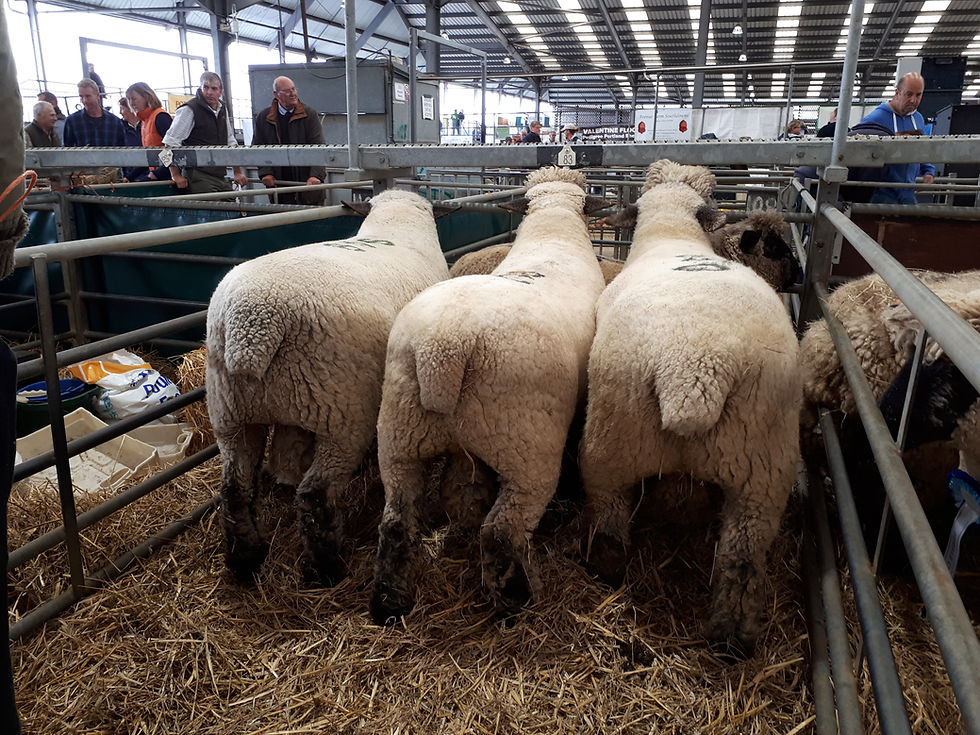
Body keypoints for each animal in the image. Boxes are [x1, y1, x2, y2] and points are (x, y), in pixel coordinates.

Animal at [205, 189, 450, 586]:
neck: (396, 228)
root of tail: (253, 326)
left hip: (231, 411)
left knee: (234, 487)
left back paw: (245, 559)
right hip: (341, 414)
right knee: (315, 495)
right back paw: (325, 568)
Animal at [370, 167, 610, 624]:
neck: (553, 233)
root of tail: (444, 348)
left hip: (400, 434)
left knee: (396, 521)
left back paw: (389, 603)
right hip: (526, 446)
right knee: (502, 530)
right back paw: (516, 600)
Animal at [578, 159, 801, 658]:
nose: (797, 278)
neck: (670, 233)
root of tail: (694, 371)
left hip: (612, 446)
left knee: (611, 525)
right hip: (762, 473)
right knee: (742, 559)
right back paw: (732, 638)